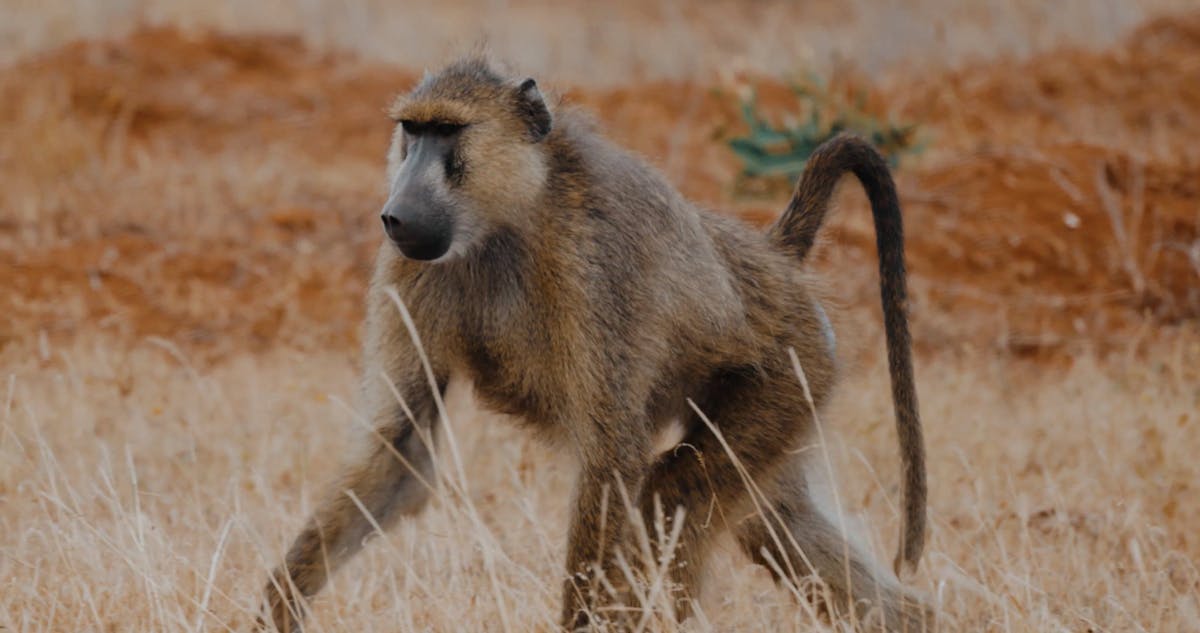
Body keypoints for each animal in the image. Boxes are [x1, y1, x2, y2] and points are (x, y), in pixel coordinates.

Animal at [261, 57, 929, 632]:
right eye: (411, 131)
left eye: (448, 132)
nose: (395, 214)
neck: (507, 219)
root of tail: (775, 257)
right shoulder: (407, 270)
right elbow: (399, 448)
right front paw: (278, 606)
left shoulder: (596, 259)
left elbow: (610, 459)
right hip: (794, 391)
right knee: (774, 524)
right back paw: (916, 617)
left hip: (790, 368)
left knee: (671, 499)